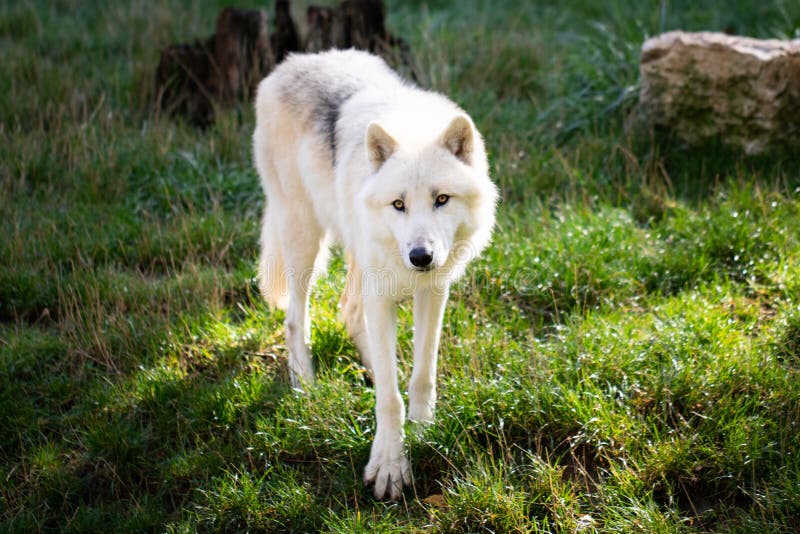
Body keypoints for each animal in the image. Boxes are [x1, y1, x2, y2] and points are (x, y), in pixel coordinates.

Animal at [253, 49, 498, 500]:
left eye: (441, 199)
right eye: (398, 204)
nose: (420, 256)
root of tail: (291, 63)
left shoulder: (433, 290)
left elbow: (422, 374)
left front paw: (423, 430)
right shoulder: (383, 294)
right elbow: (389, 400)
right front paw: (389, 465)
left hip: (356, 260)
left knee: (350, 312)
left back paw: (370, 366)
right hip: (304, 239)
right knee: (296, 319)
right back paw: (307, 387)